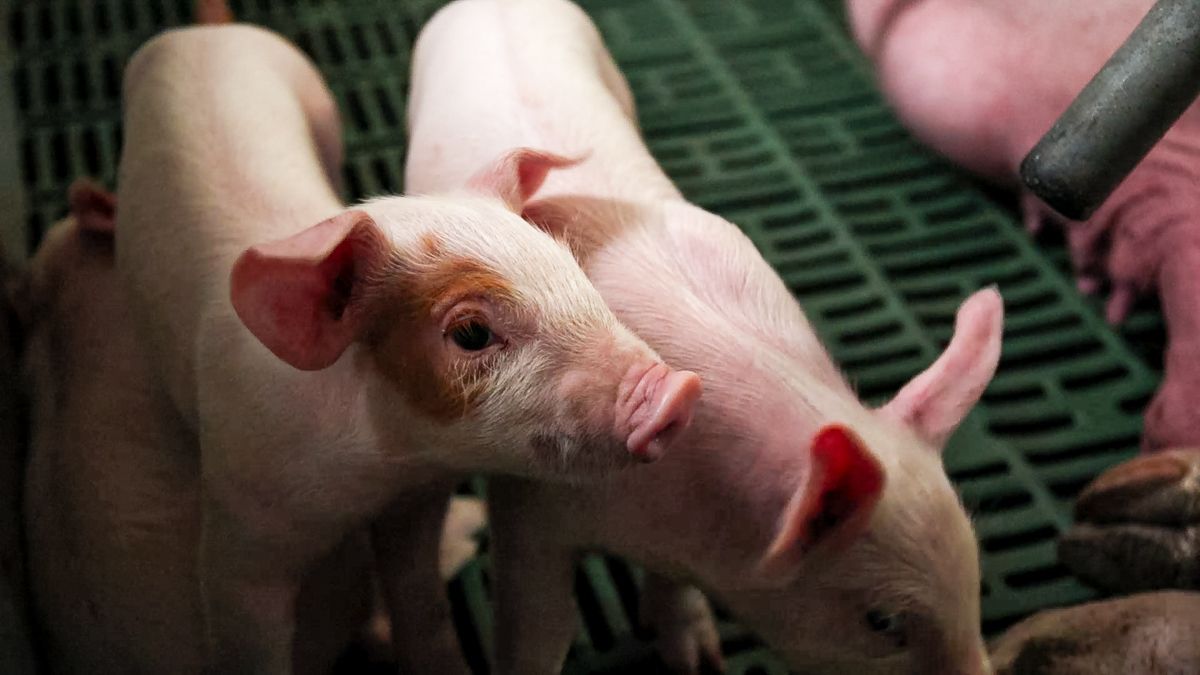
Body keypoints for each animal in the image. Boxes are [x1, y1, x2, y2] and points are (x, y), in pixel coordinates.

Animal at [114, 23, 698, 673]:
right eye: (470, 333)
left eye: (569, 266)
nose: (678, 389)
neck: (370, 472)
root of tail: (208, 28)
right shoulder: (240, 533)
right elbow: (250, 640)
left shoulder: (415, 500)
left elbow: (421, 596)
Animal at [406, 1, 1002, 673]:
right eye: (882, 622)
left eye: (974, 575)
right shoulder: (530, 510)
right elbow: (537, 628)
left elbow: (671, 588)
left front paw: (699, 660)